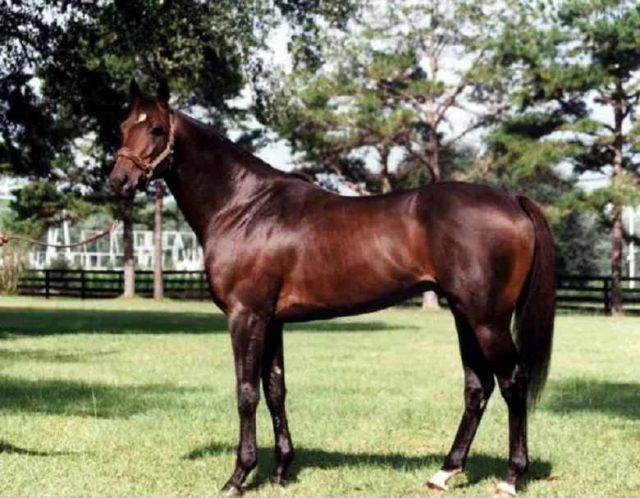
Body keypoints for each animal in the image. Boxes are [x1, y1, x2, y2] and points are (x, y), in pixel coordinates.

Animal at [110, 79, 555, 496]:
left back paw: (511, 477)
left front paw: (239, 476)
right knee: (478, 386)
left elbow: (247, 393)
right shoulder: (271, 321)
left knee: (513, 382)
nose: (119, 181)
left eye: (156, 129)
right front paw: (281, 470)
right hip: (466, 316)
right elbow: (275, 389)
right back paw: (445, 472)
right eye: (123, 126)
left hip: (487, 320)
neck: (244, 206)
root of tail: (512, 201)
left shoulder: (245, 317)